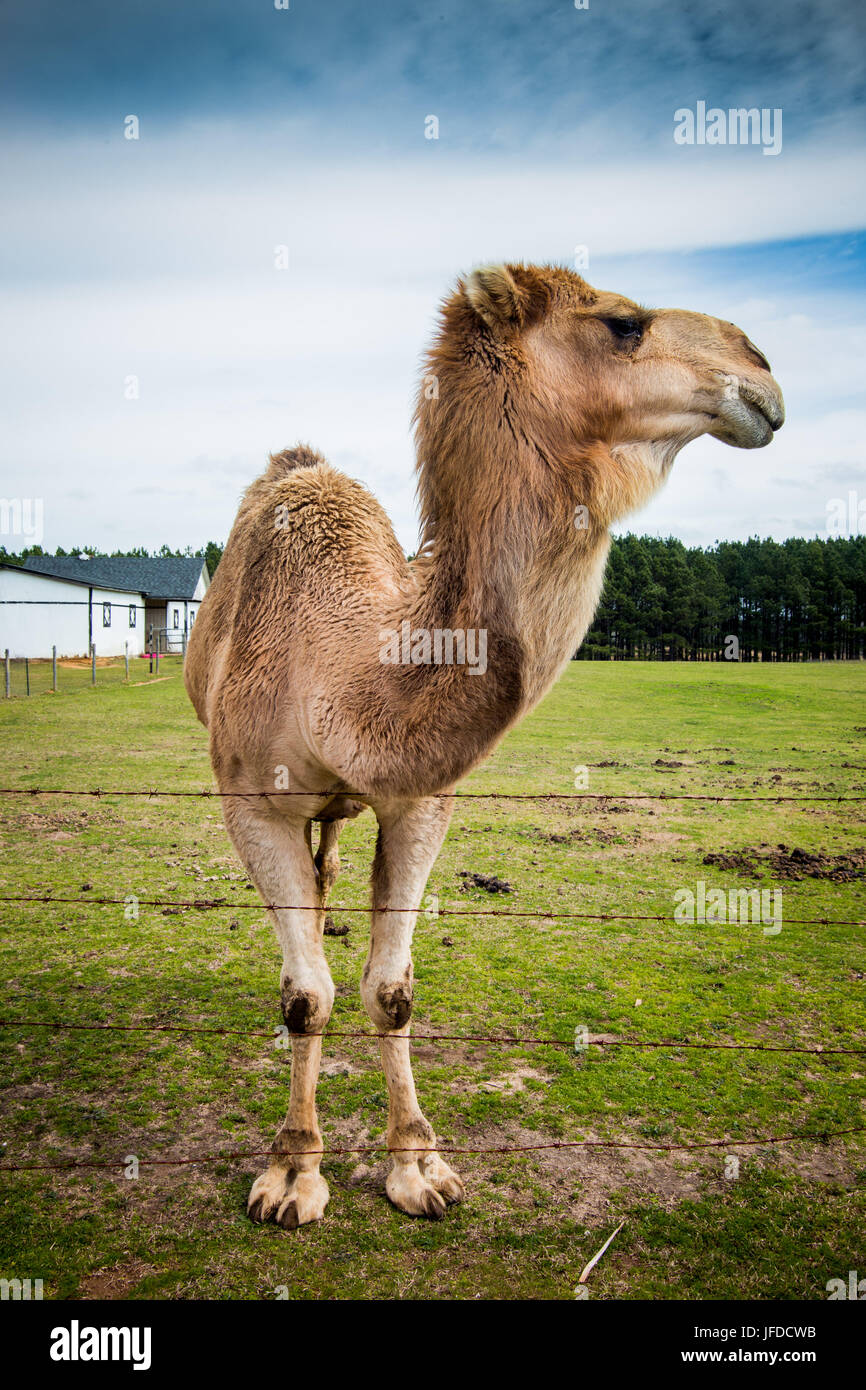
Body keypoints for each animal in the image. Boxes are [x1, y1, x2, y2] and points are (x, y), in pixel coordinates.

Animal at [184, 262, 784, 1229]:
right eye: (624, 324)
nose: (761, 369)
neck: (343, 668)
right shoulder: (249, 798)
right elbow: (308, 997)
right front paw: (290, 1176)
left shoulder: (420, 798)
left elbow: (389, 990)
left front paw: (419, 1169)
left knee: (328, 868)